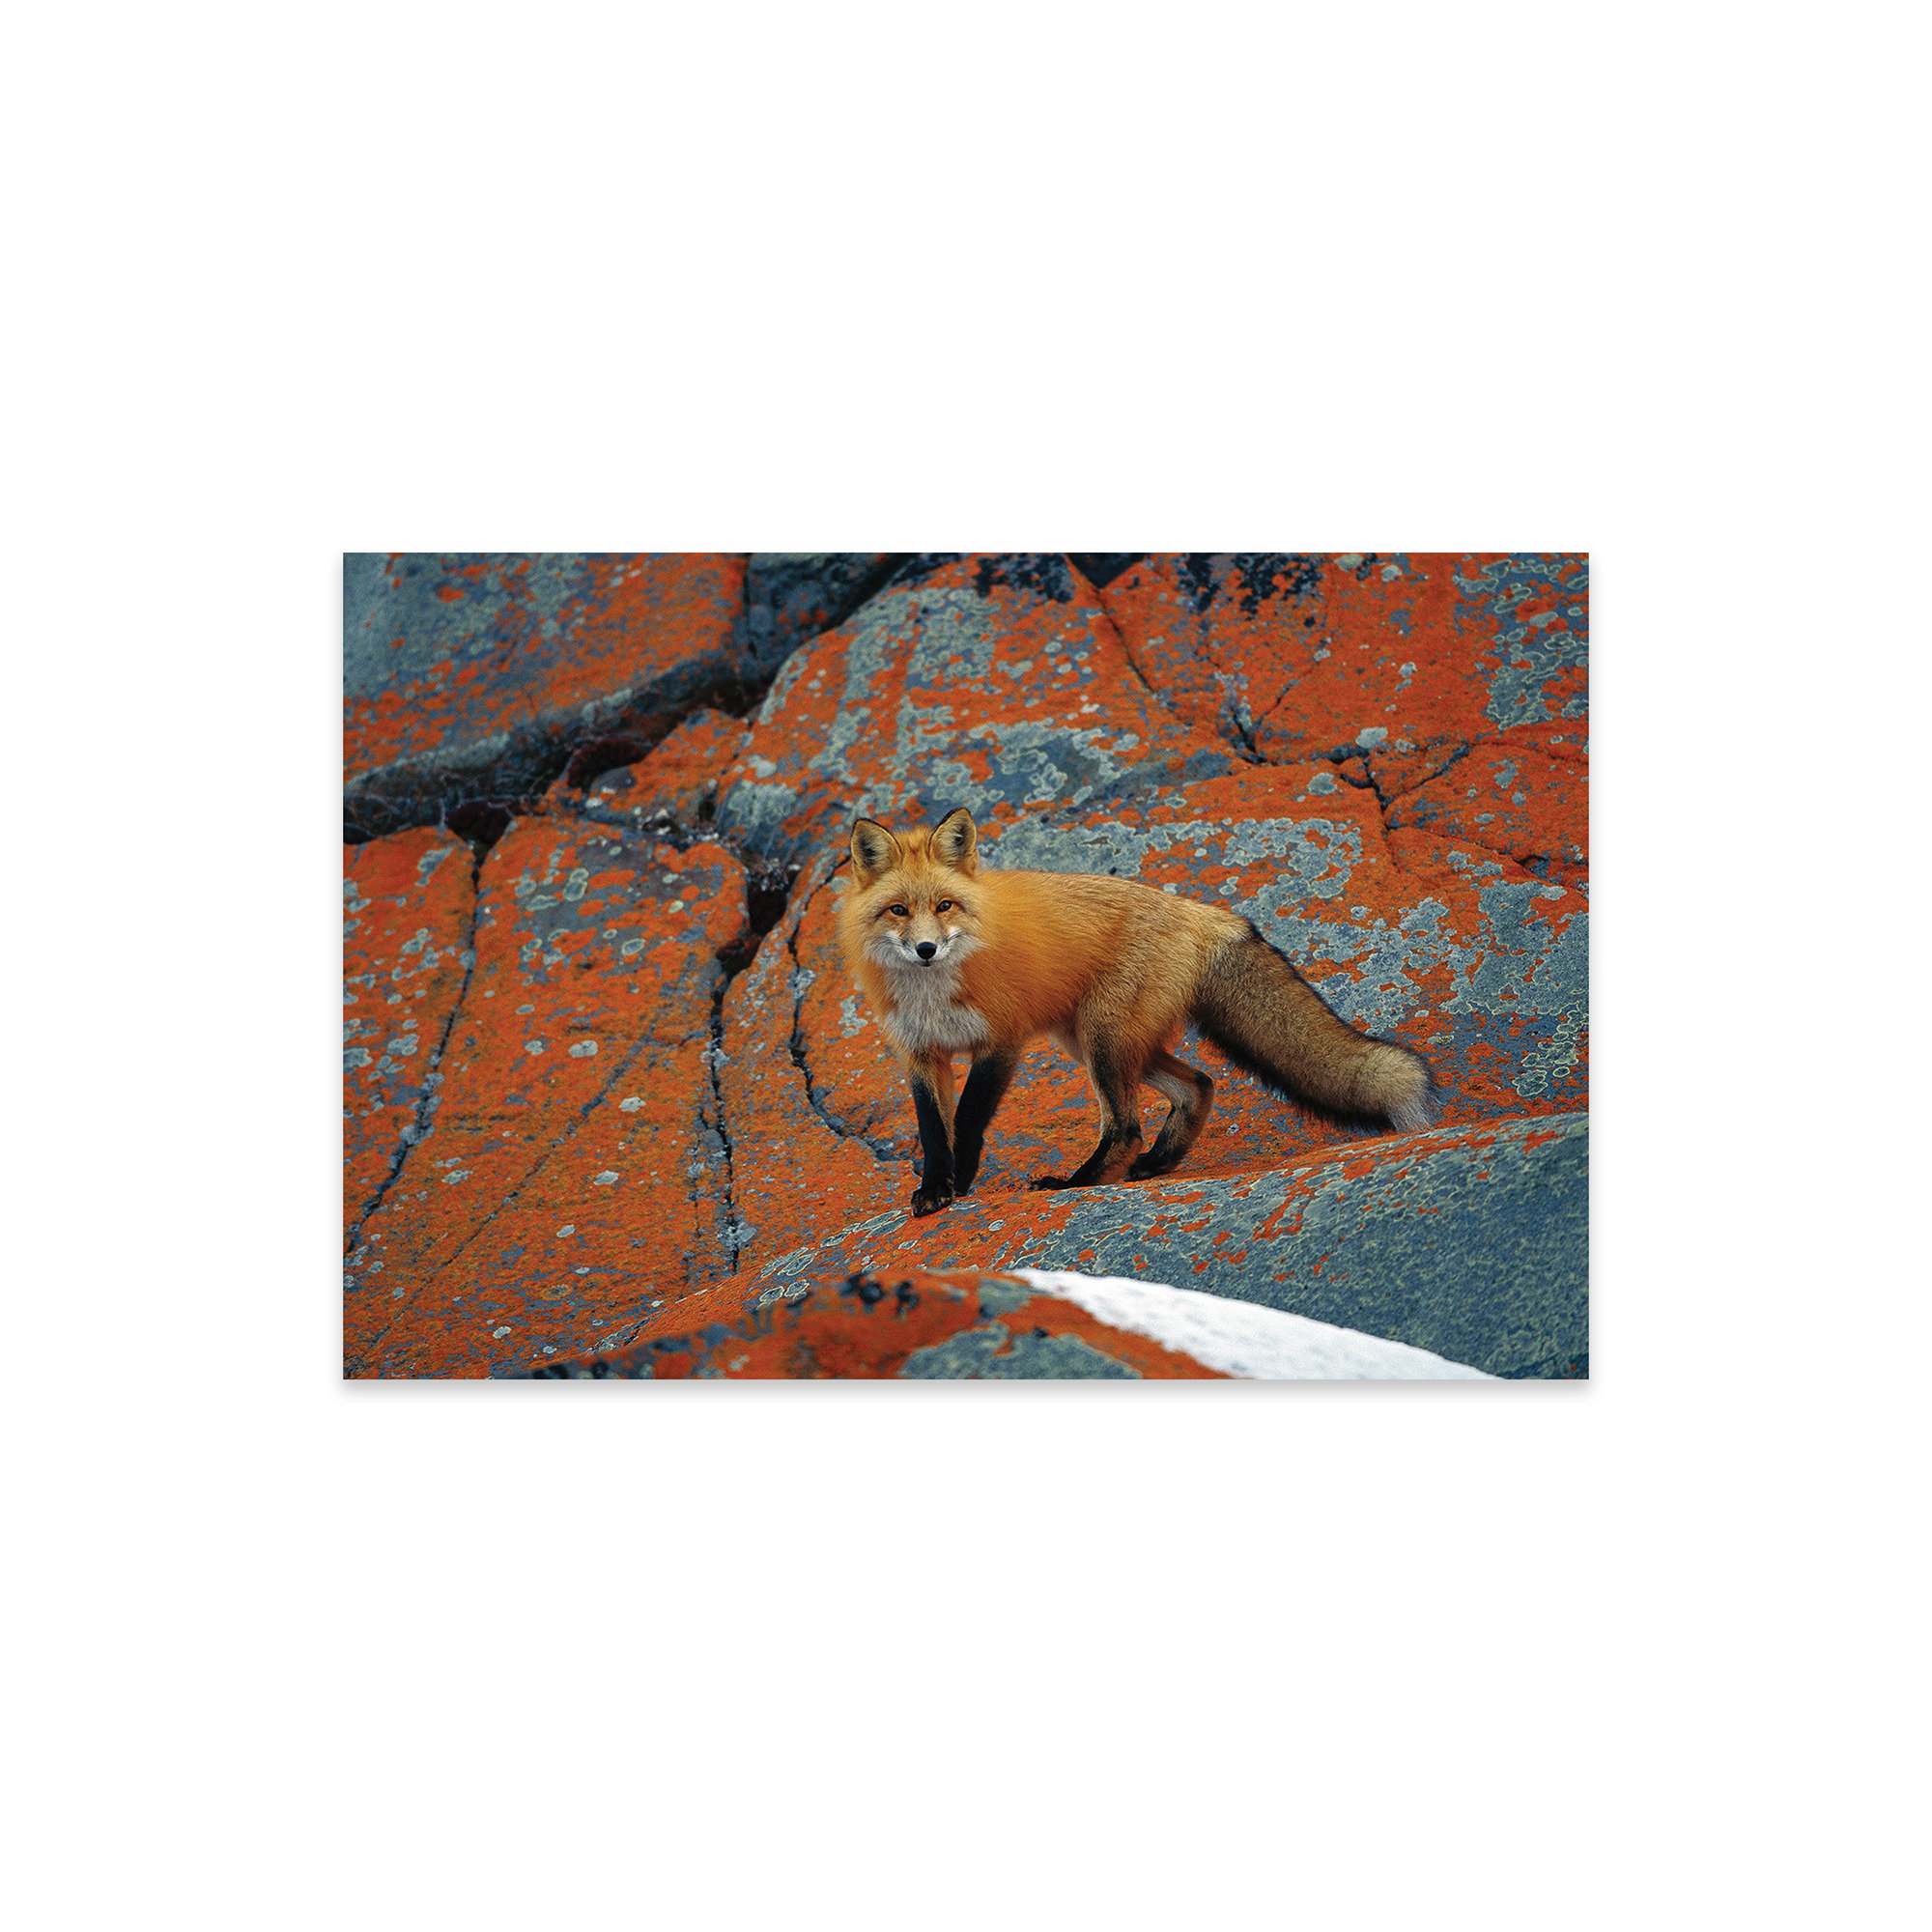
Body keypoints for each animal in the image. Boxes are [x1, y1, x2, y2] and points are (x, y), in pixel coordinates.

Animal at [838, 805, 1441, 1217]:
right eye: (898, 910)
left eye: (945, 905)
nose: (925, 949)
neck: (933, 990)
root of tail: (1198, 910)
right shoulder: (921, 1053)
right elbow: (932, 1131)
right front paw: (936, 1189)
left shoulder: (1001, 1041)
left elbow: (966, 1121)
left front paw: (960, 1184)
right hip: (1101, 1041)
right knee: (1198, 1085)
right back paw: (1156, 1164)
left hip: (1101, 1039)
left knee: (1125, 1126)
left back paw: (1077, 1184)